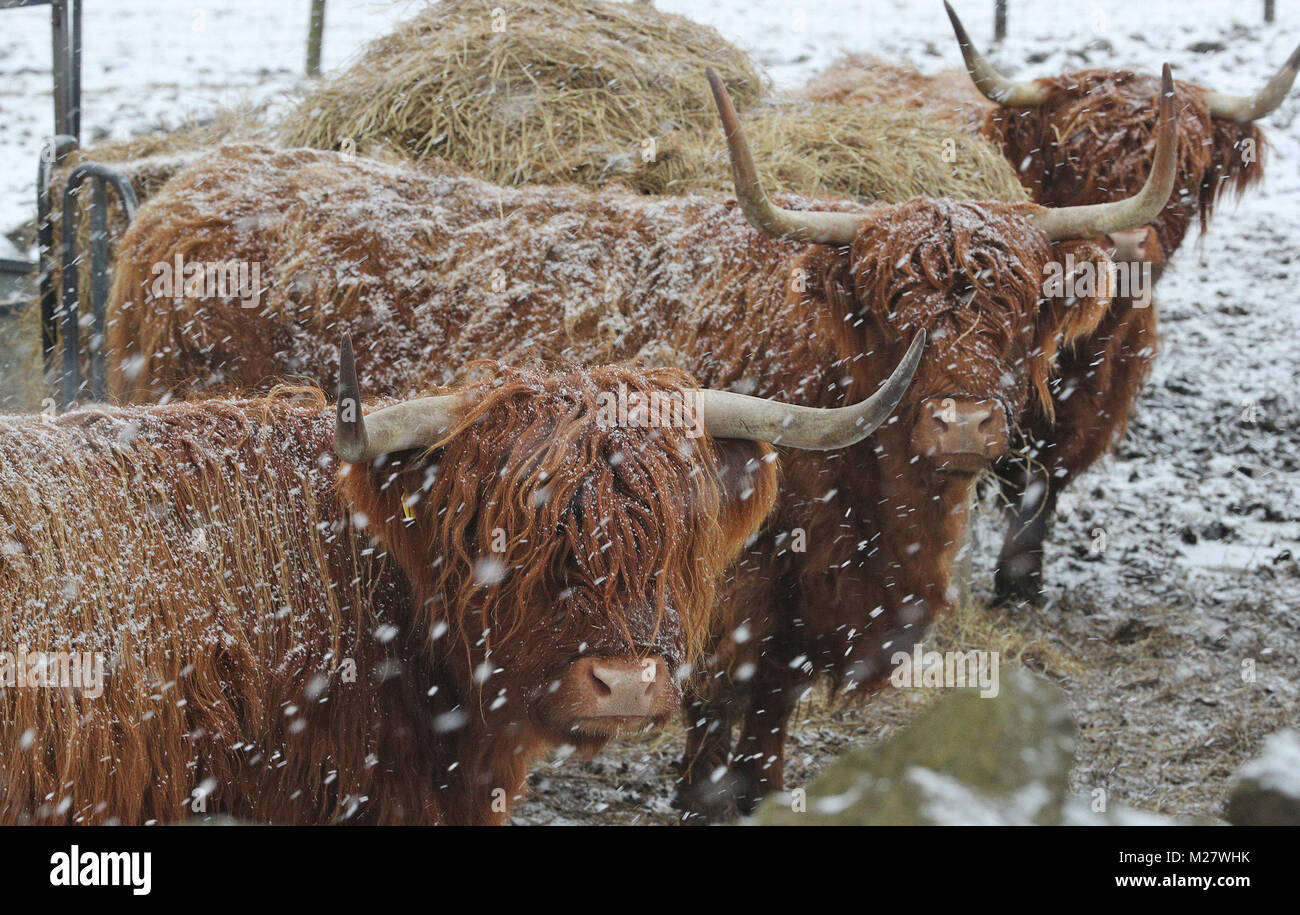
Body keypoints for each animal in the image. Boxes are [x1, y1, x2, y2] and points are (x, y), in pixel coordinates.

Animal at [101, 69, 1174, 820]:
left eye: (1022, 313)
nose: (963, 426)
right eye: (890, 306)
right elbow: (717, 717)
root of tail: (190, 188)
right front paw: (702, 795)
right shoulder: (731, 593)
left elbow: (769, 728)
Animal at [805, 2, 1298, 603]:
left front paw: (1021, 583)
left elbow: (1041, 486)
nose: (1128, 241)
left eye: (1186, 168)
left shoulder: (1088, 408)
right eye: (1072, 155)